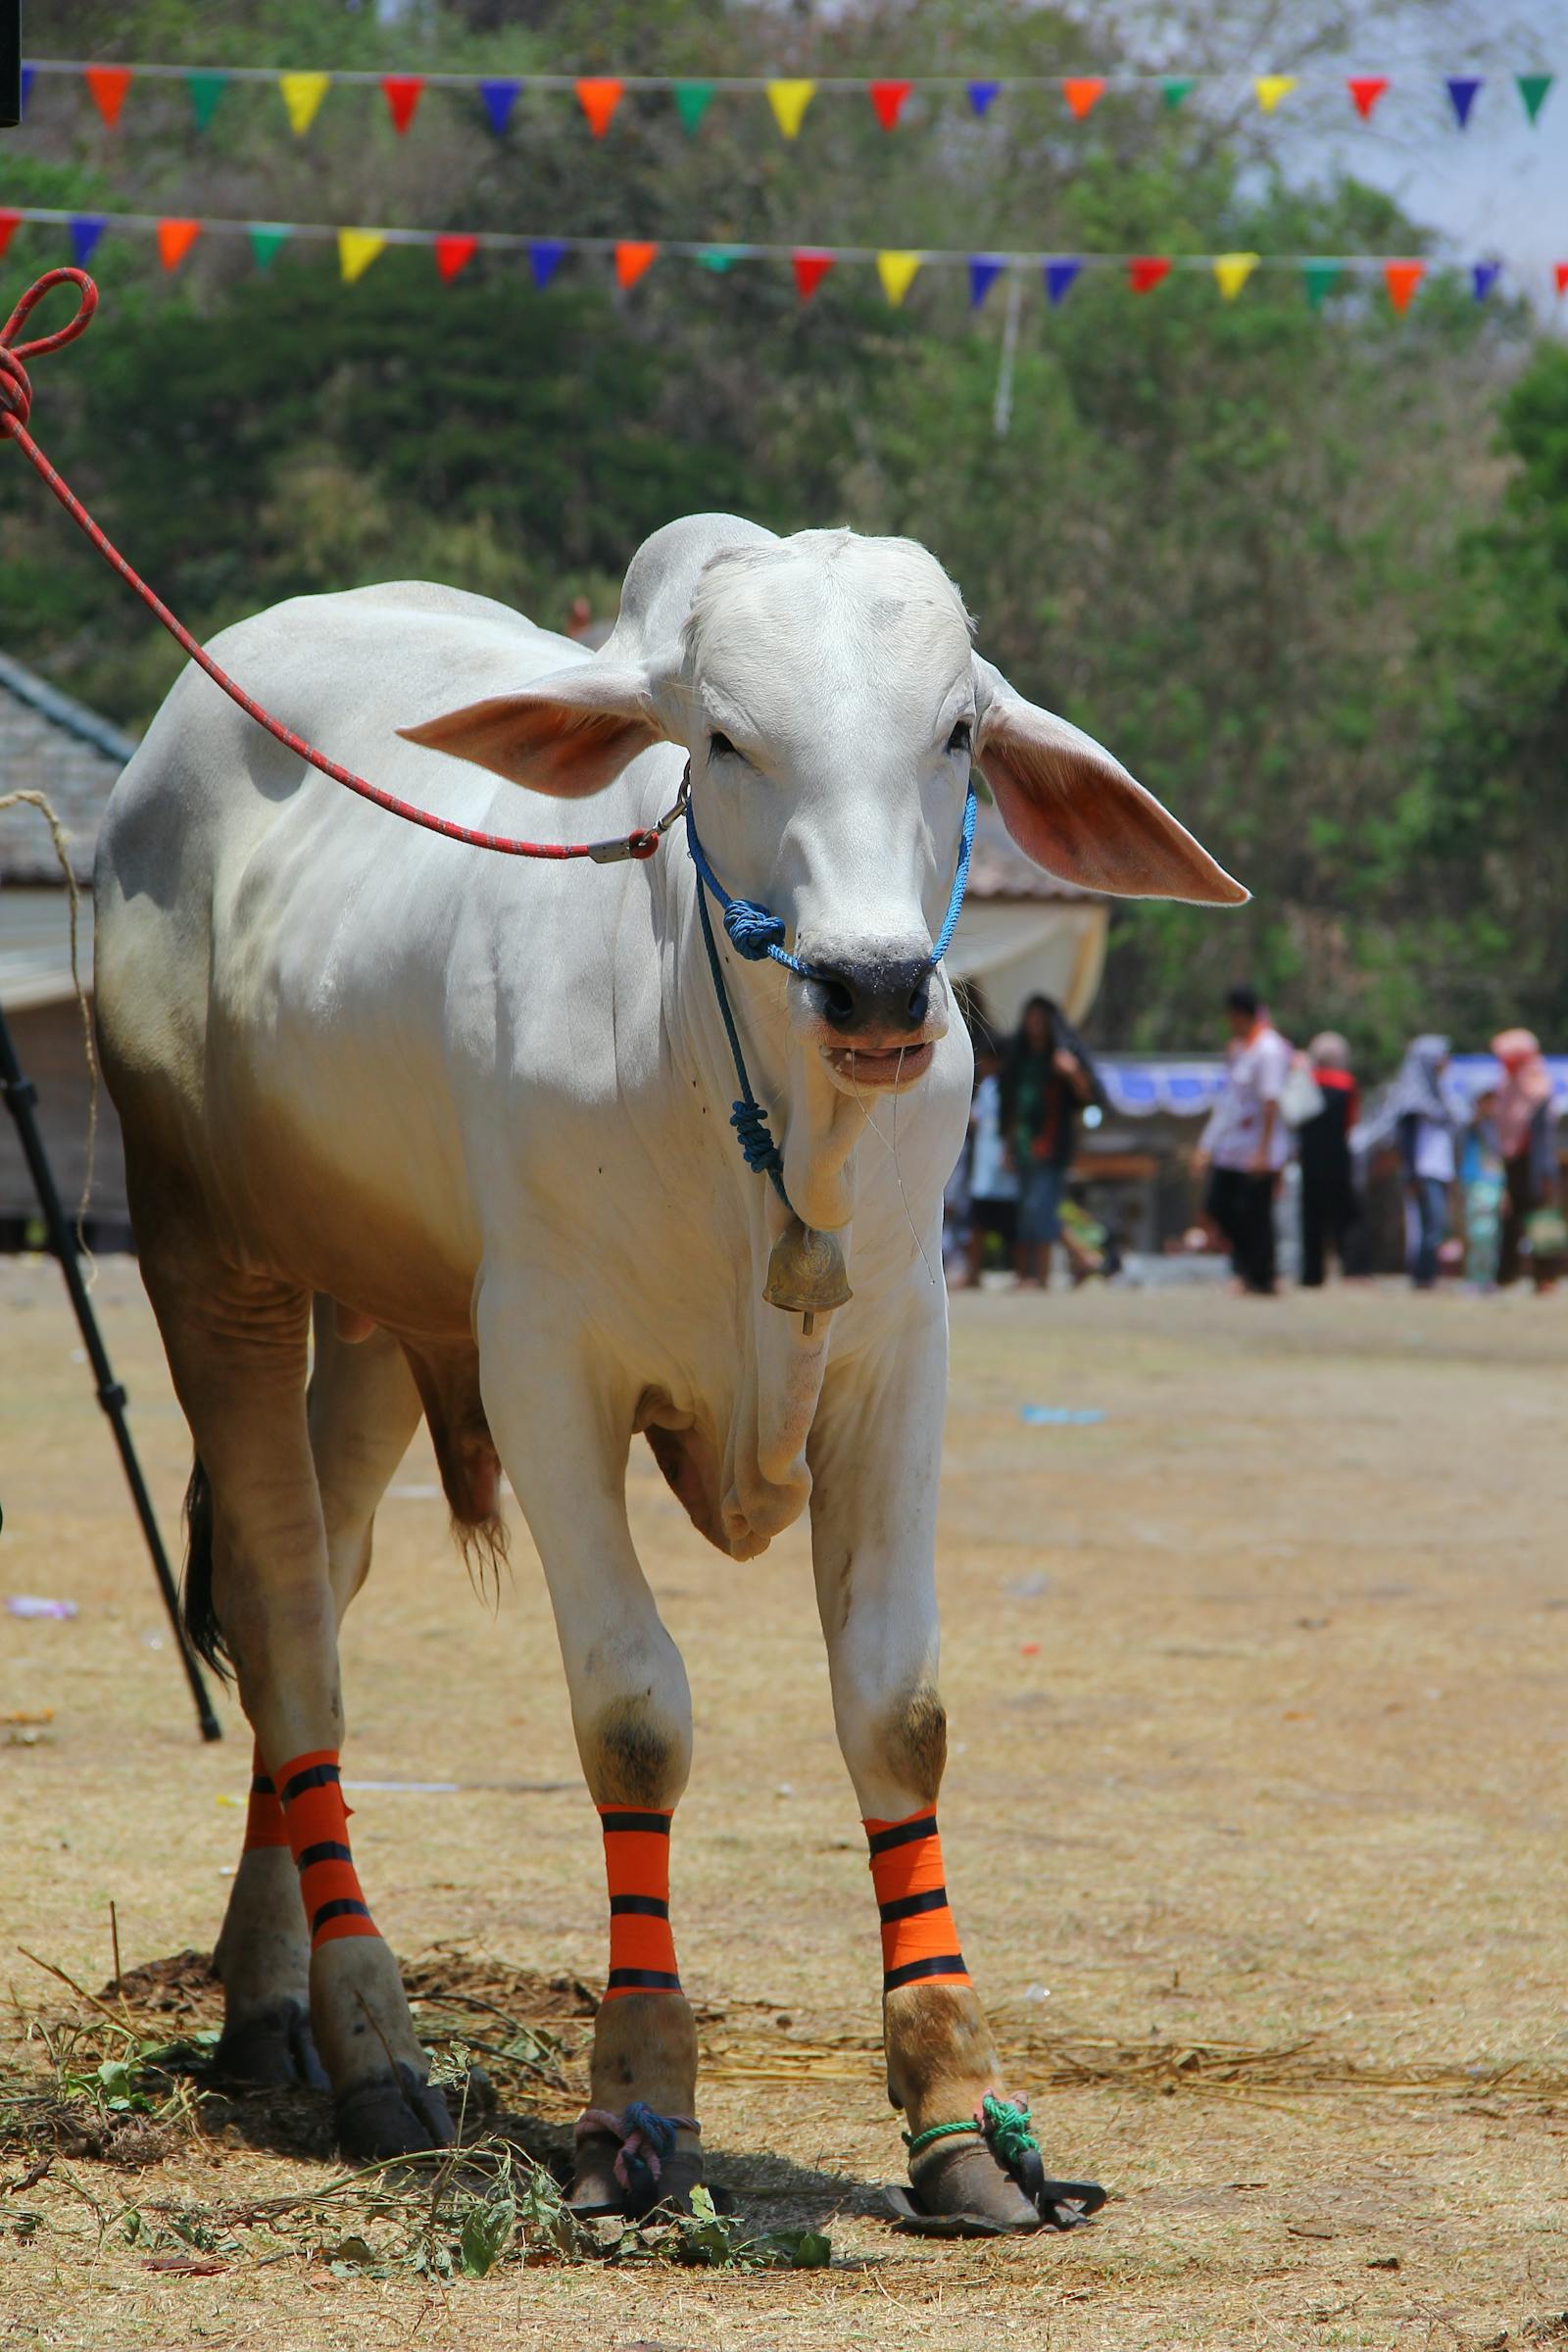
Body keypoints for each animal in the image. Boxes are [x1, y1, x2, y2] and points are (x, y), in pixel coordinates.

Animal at [93, 514, 1243, 2234]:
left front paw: (963, 2112)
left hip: (370, 1324)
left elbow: (897, 1709)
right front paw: (638, 2101)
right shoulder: (542, 1365)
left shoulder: (900, 1352)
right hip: (208, 1261)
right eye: (724, 741)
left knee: (314, 1585)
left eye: (956, 733)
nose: (876, 985)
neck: (747, 1098)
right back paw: (370, 2042)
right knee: (287, 1620)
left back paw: (267, 1998)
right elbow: (635, 1716)